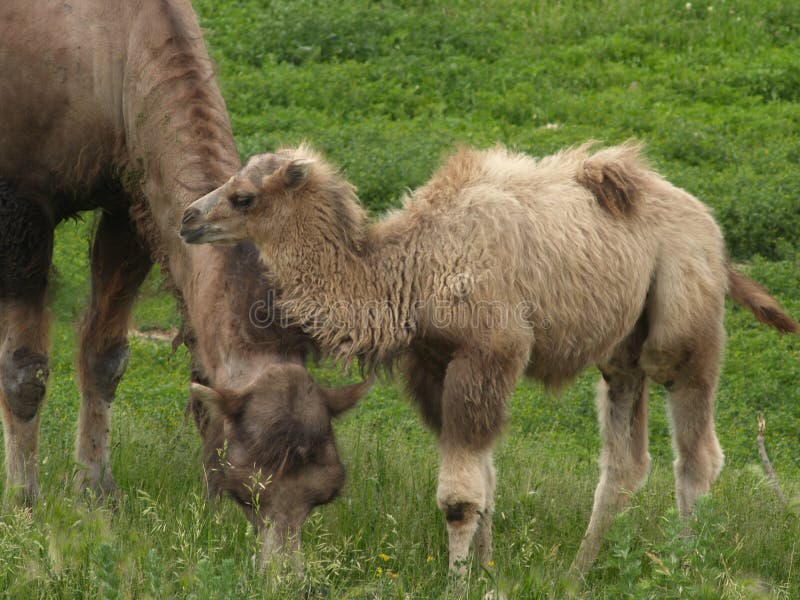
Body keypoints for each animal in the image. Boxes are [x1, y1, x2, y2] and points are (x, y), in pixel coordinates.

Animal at [0, 0, 369, 564]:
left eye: (323, 493)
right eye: (247, 488)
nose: (283, 570)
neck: (112, 51)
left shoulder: (127, 198)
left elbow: (104, 357)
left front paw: (97, 491)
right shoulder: (22, 202)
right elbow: (25, 372)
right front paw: (24, 502)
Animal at [181, 140, 798, 575]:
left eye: (243, 196)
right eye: (232, 182)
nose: (188, 217)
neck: (412, 270)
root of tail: (715, 232)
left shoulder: (489, 351)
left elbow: (459, 497)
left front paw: (458, 583)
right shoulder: (431, 365)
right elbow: (485, 481)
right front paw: (486, 572)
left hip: (684, 316)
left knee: (697, 453)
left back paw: (685, 566)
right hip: (622, 348)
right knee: (625, 461)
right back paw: (577, 575)